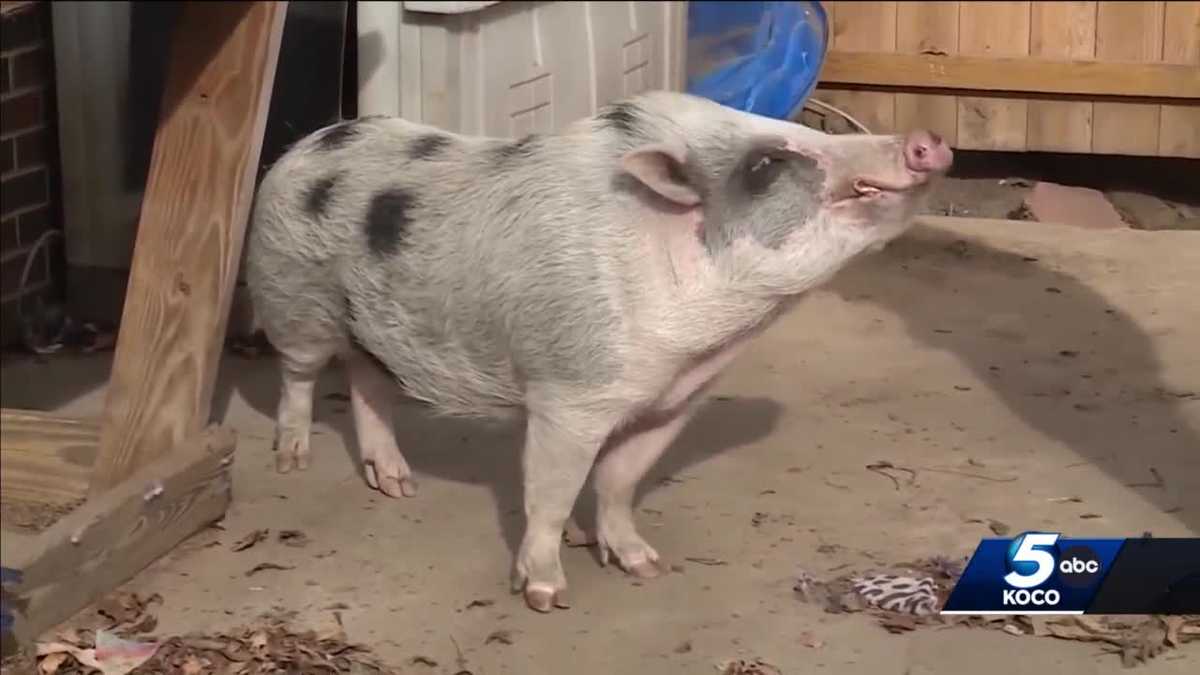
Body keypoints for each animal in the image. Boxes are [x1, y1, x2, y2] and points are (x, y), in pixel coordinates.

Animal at [245, 90, 952, 612]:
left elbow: (619, 481)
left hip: (370, 328)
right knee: (300, 374)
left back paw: (398, 486)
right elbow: (551, 492)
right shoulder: (569, 394)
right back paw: (291, 461)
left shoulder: (672, 402)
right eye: (766, 166)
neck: (695, 341)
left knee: (368, 382)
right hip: (292, 296)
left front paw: (645, 566)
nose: (928, 140)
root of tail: (306, 142)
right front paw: (545, 596)